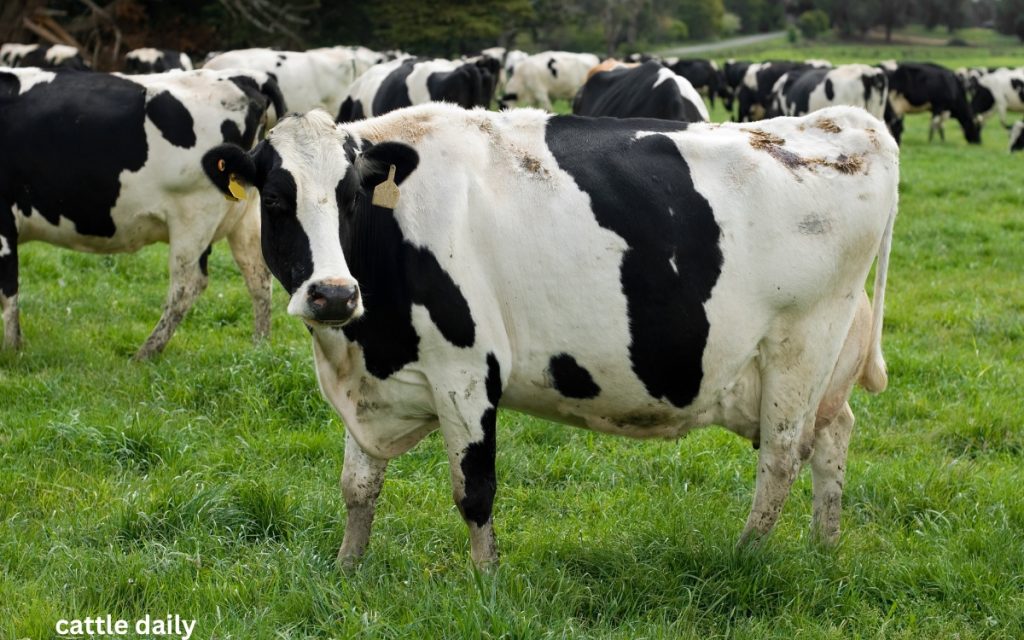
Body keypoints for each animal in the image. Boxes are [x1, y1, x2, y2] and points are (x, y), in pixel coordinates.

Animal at [0, 67, 285, 358]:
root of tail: (245, 77)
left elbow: (8, 289)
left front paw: (12, 350)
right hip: (244, 217)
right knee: (258, 276)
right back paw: (259, 347)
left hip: (194, 216)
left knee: (187, 285)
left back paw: (146, 352)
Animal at [202, 103, 897, 568]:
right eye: (275, 200)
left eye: (350, 197)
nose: (334, 293)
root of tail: (844, 122)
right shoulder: (372, 383)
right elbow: (357, 488)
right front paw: (348, 572)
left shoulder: (466, 372)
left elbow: (474, 491)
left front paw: (487, 586)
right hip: (824, 367)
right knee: (833, 435)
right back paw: (824, 547)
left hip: (799, 348)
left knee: (781, 459)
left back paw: (745, 557)